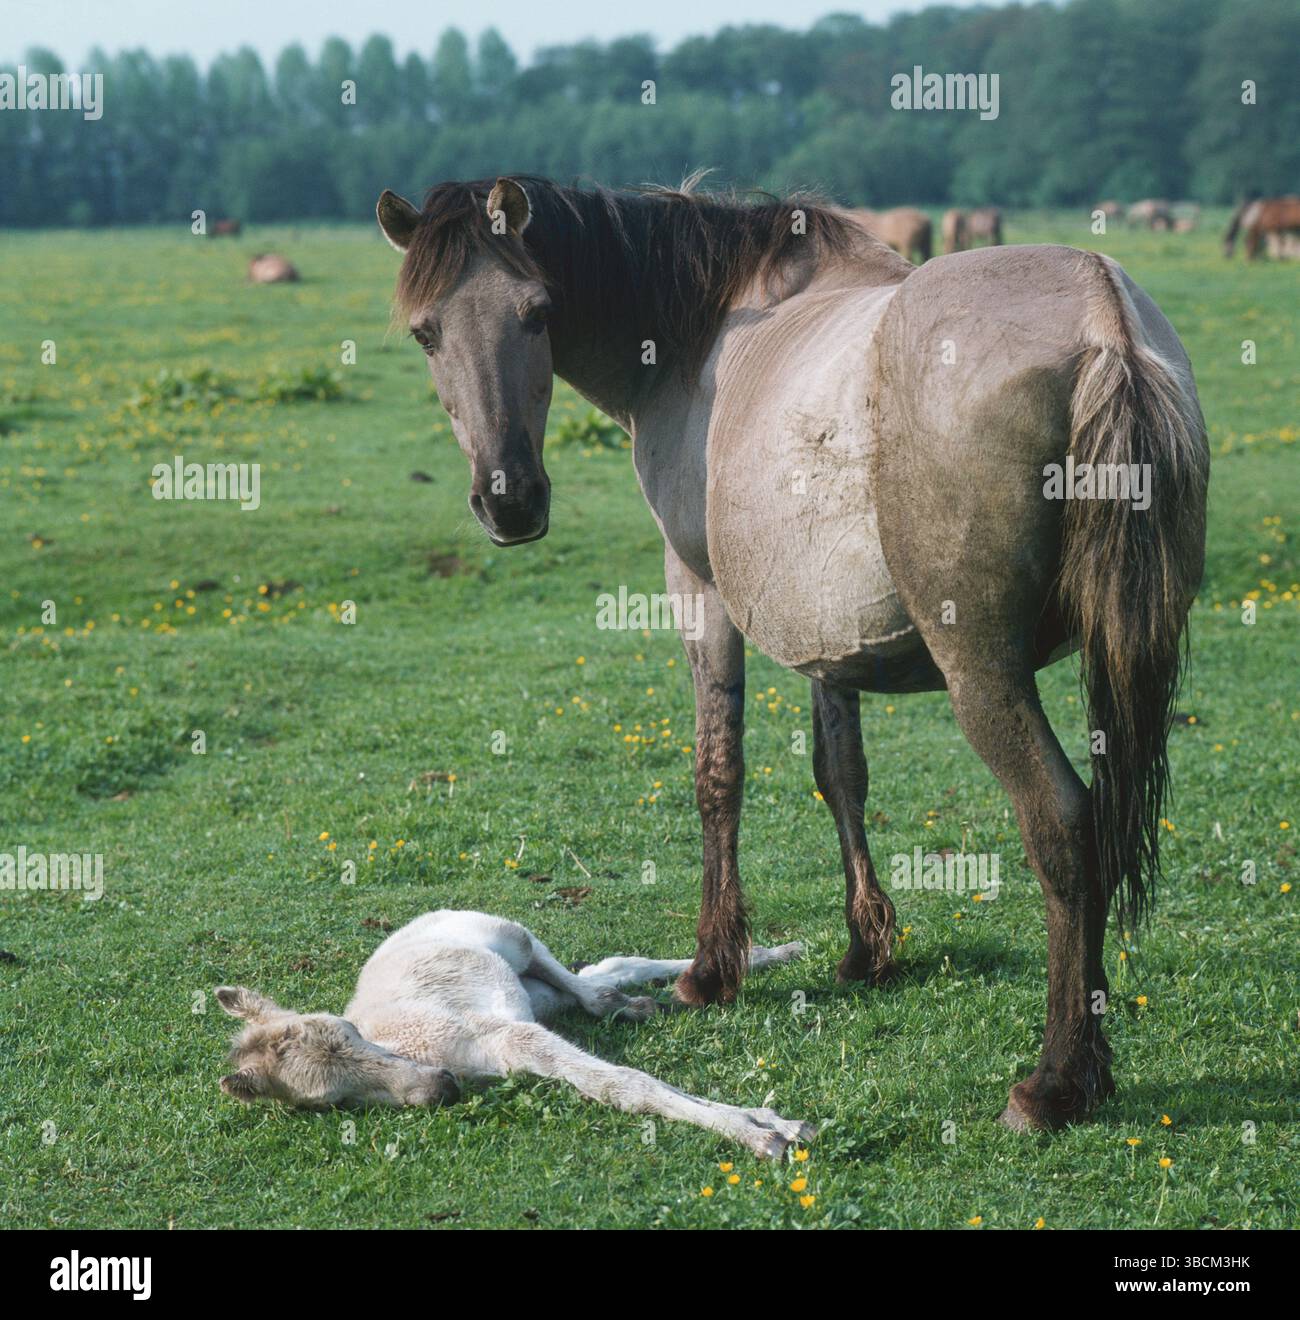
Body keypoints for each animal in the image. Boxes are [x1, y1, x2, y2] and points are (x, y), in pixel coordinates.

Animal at [375, 175, 1209, 1132]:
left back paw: (1058, 1080)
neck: (699, 334)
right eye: (426, 332)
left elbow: (718, 771)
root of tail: (1101, 320)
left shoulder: (697, 588)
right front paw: (867, 947)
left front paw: (712, 968)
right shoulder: (828, 633)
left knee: (1064, 825)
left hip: (985, 675)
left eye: (537, 312)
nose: (510, 500)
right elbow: (840, 771)